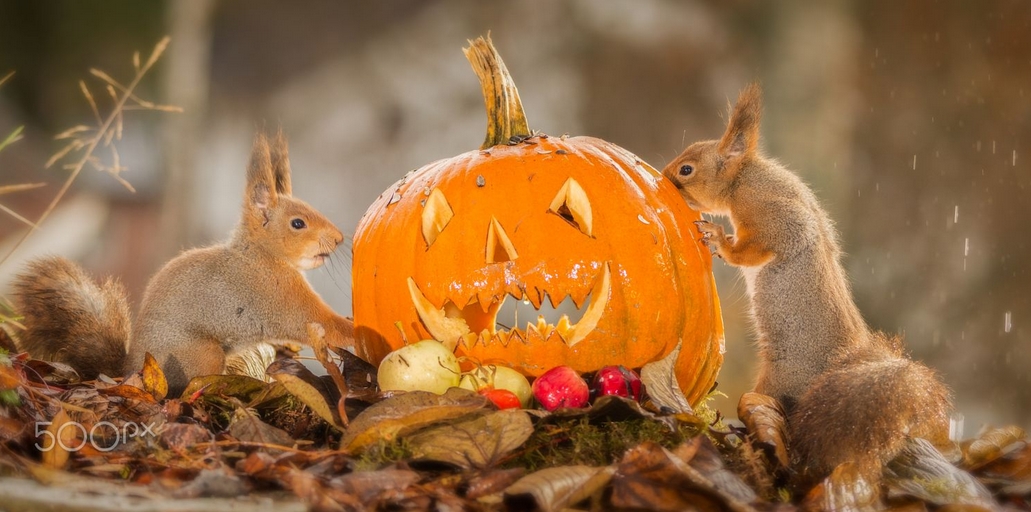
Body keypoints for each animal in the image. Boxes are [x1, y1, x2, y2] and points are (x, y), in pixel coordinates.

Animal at [12, 131, 355, 395]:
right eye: (298, 223)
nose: (339, 238)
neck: (260, 254)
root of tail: (129, 369)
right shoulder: (279, 295)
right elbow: (319, 322)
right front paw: (354, 329)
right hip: (199, 355)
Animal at [661, 83, 952, 487]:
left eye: (687, 169)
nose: (663, 176)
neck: (744, 178)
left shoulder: (775, 215)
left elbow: (758, 248)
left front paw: (719, 239)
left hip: (781, 378)